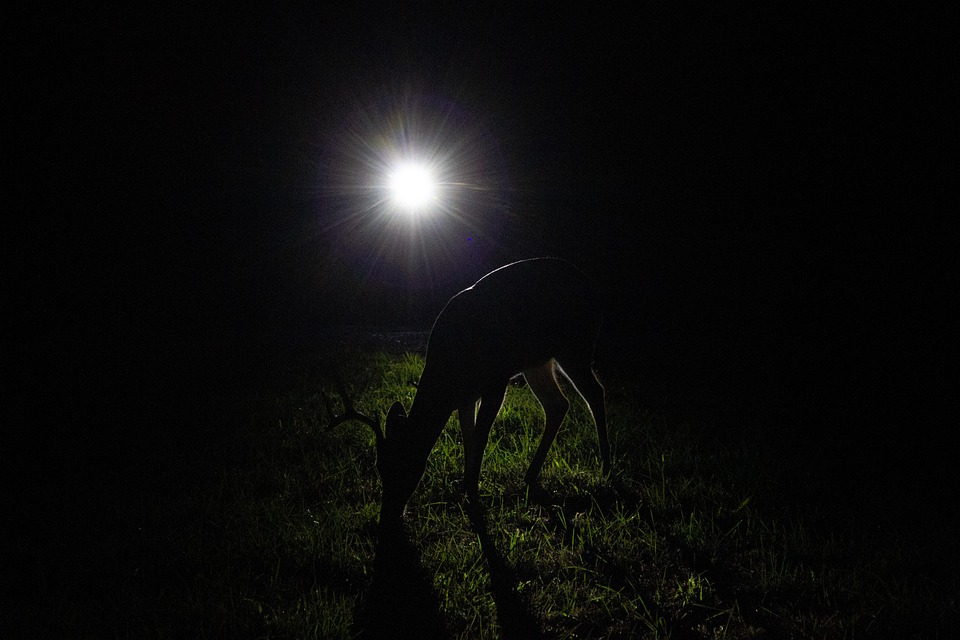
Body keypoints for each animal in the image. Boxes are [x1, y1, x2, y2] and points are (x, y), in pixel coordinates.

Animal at [330, 257, 610, 529]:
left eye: (408, 464)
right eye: (379, 465)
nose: (387, 517)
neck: (451, 368)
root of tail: (595, 291)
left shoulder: (496, 382)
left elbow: (480, 436)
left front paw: (473, 491)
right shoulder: (465, 396)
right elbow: (468, 434)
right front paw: (465, 483)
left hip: (575, 345)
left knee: (595, 392)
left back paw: (606, 470)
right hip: (537, 362)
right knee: (558, 404)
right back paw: (531, 475)